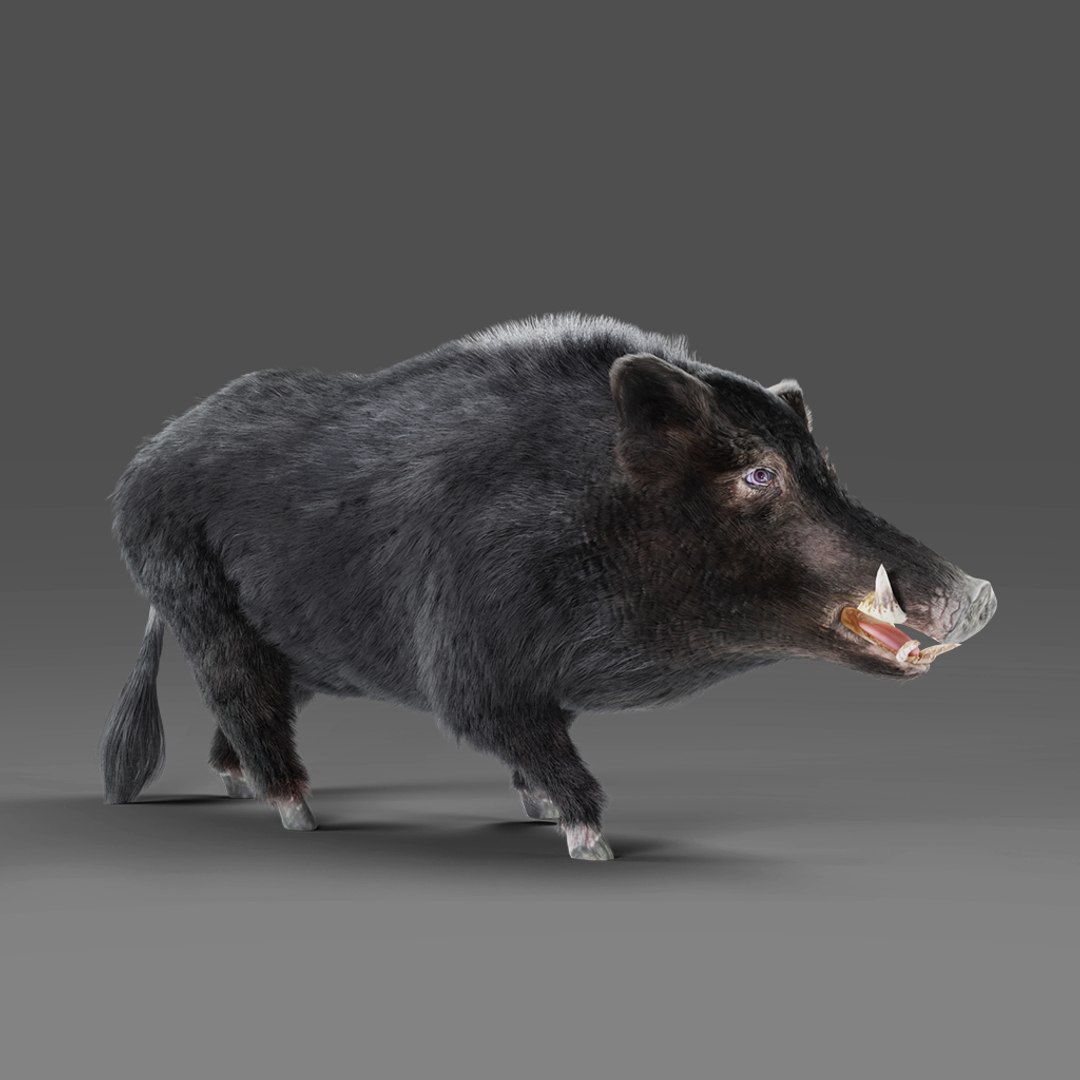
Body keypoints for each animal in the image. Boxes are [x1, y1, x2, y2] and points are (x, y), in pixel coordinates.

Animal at [102, 313, 997, 859]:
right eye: (758, 474)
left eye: (826, 469)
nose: (983, 592)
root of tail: (142, 465)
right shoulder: (471, 661)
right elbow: (523, 740)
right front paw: (593, 845)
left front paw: (531, 810)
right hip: (200, 605)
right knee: (242, 701)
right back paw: (299, 817)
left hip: (296, 649)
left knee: (246, 718)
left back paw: (239, 788)